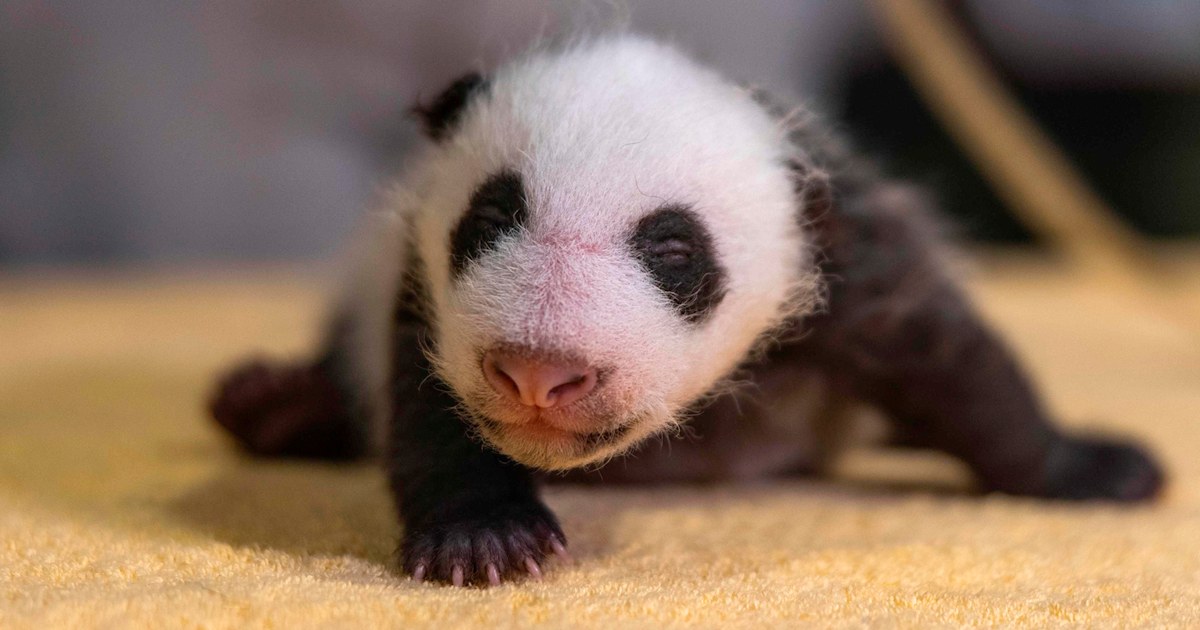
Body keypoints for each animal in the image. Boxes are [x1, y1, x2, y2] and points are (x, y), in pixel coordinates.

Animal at [209, 35, 1164, 587]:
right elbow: (427, 400)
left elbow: (953, 364)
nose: (538, 375)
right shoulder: (420, 281)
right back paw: (273, 404)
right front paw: (482, 537)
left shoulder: (840, 250)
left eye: (673, 252)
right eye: (488, 219)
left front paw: (1094, 467)